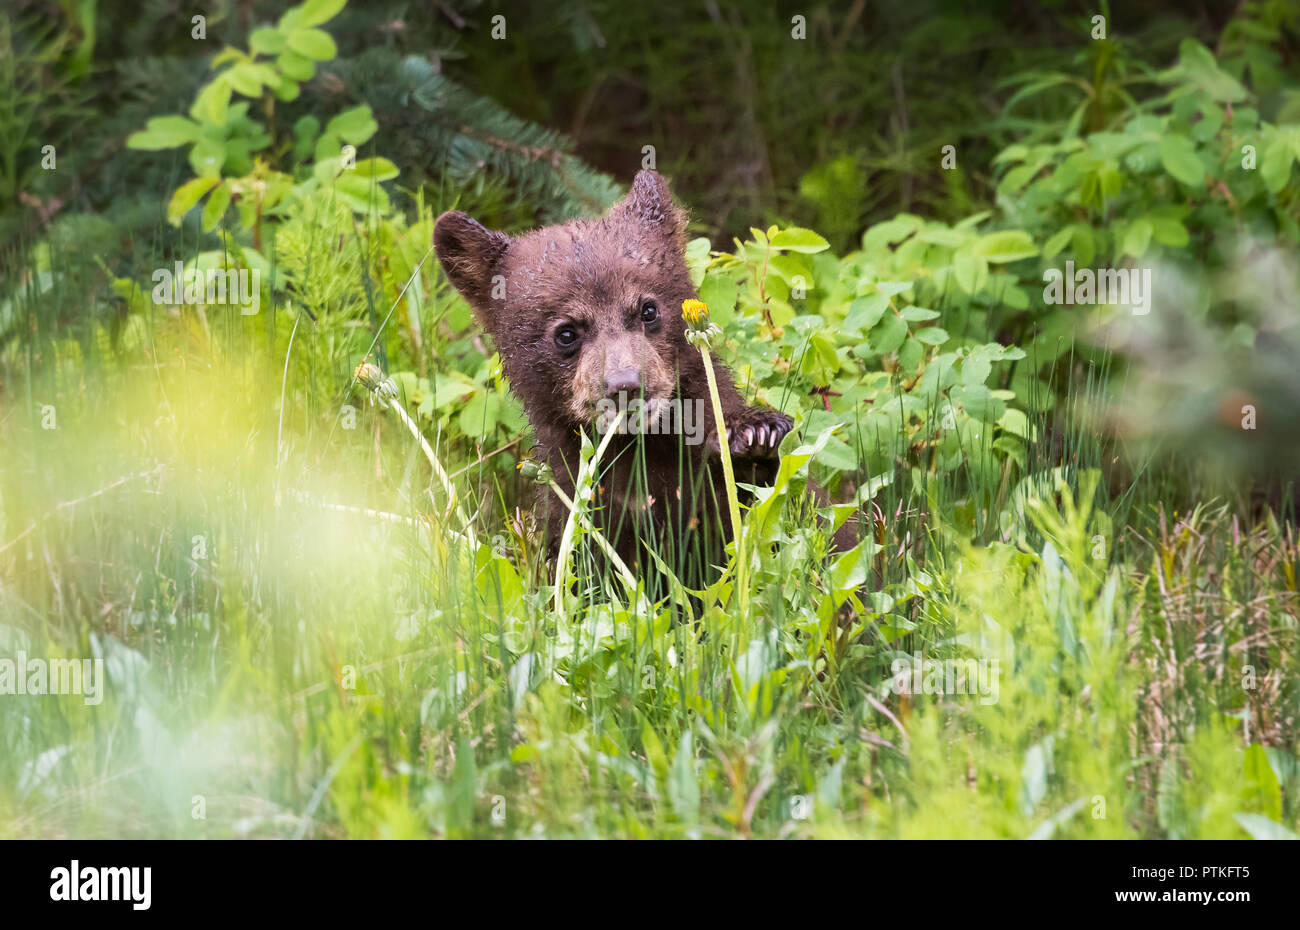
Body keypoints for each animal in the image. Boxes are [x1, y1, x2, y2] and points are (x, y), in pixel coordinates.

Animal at [434, 170, 797, 591]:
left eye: (648, 309)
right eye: (566, 333)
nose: (625, 385)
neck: (641, 455)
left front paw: (755, 434)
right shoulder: (579, 513)